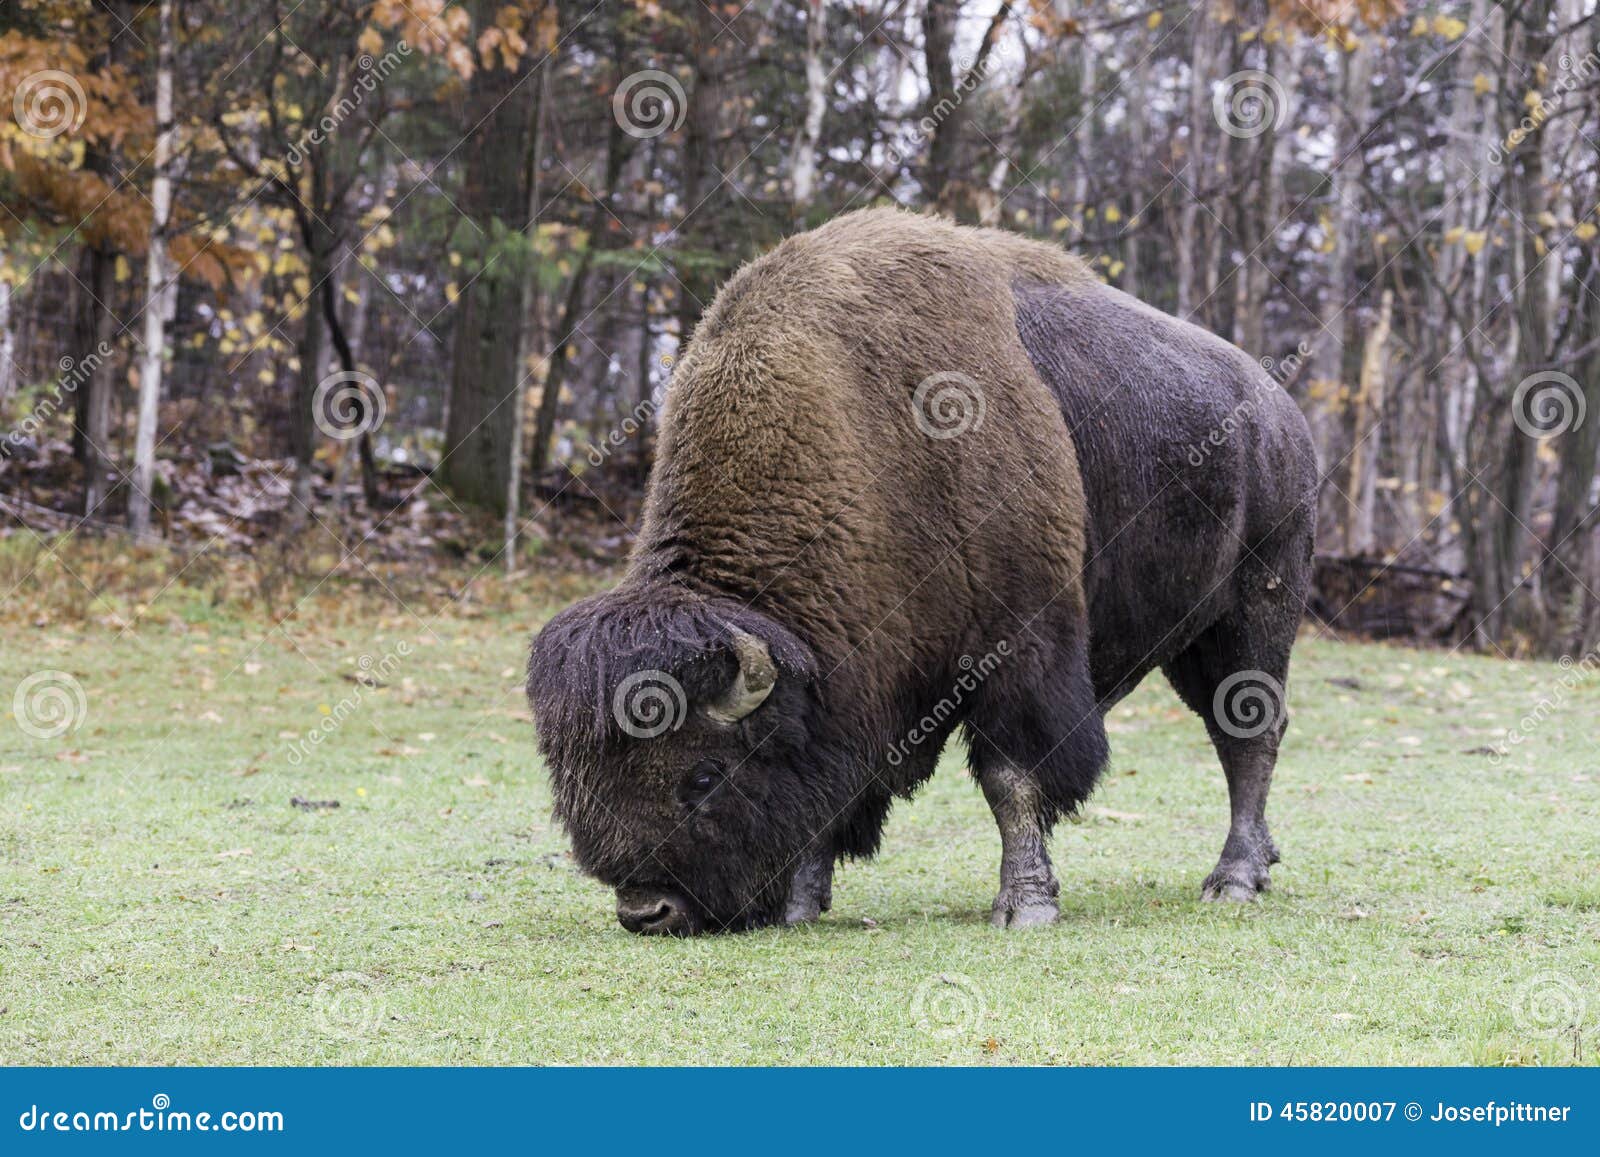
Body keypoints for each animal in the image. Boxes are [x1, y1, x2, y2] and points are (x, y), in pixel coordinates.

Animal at [527, 208, 1317, 935]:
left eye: (703, 774)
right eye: (571, 781)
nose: (647, 909)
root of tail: (1281, 413)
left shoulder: (1020, 650)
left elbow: (1011, 780)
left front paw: (1024, 906)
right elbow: (838, 793)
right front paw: (802, 905)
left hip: (1255, 615)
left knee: (1249, 735)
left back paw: (1233, 879)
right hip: (1191, 639)